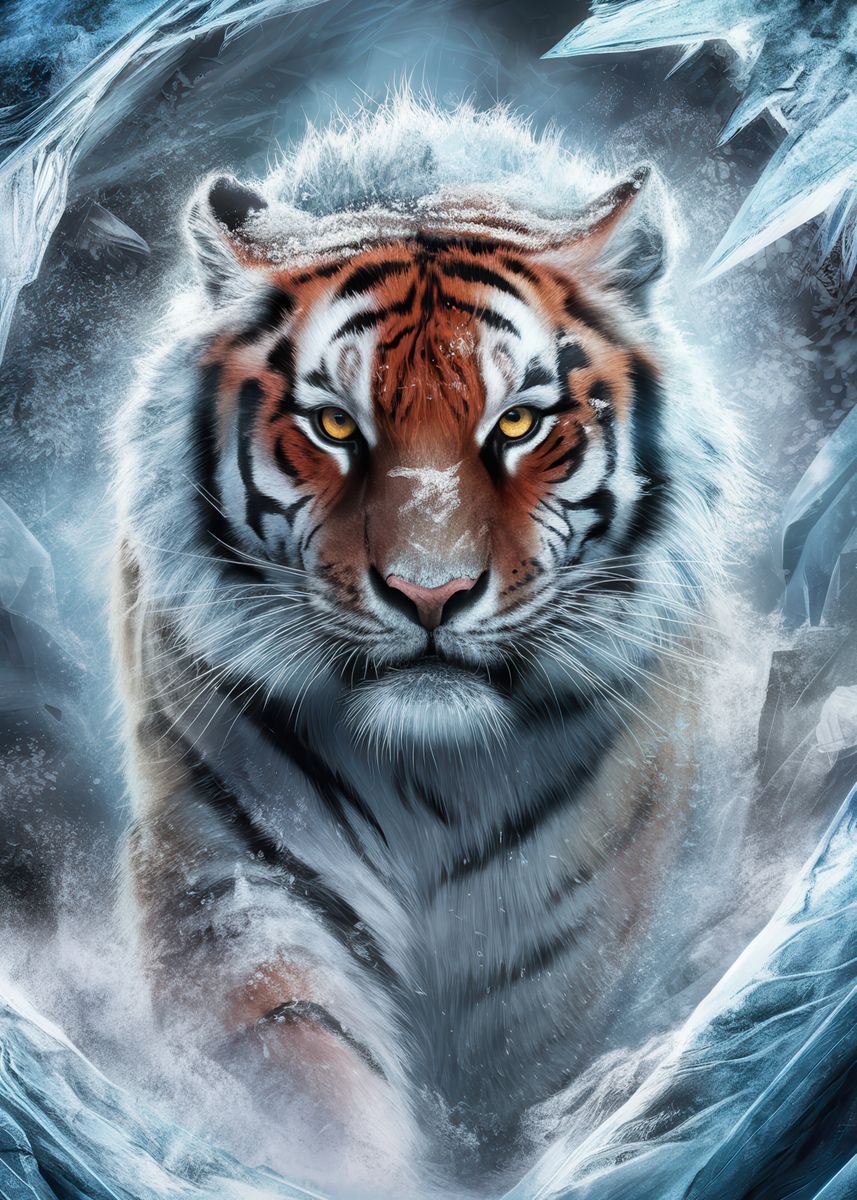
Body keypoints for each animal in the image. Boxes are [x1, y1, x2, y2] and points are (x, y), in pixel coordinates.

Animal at [113, 96, 730, 1194]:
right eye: (332, 425)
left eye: (518, 425)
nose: (428, 593)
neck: (431, 778)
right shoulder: (237, 881)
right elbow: (296, 1060)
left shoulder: (580, 925)